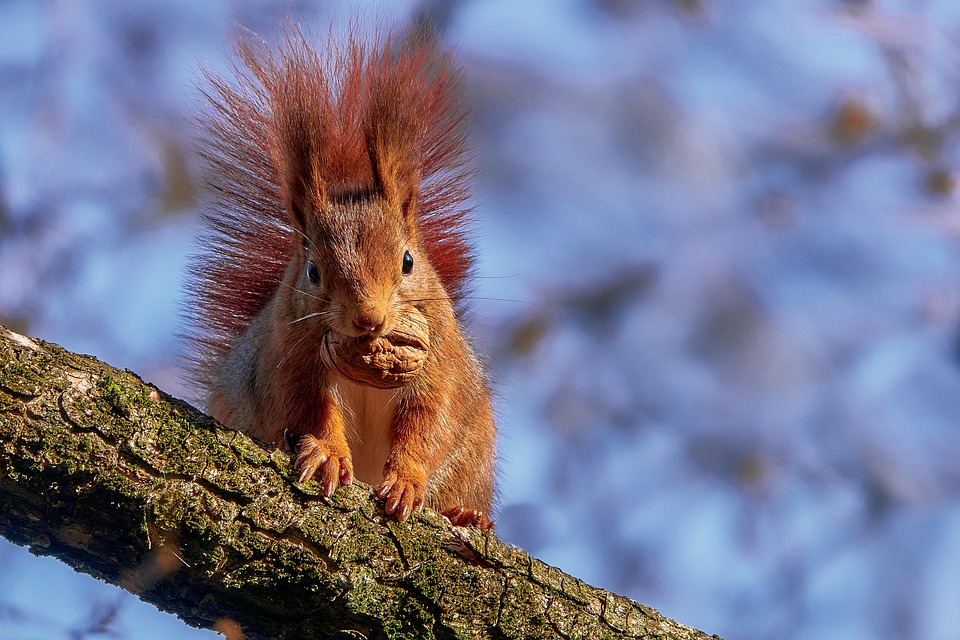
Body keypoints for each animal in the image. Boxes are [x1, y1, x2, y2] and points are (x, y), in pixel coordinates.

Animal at [185, 24, 496, 530]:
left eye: (408, 262)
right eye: (313, 271)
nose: (369, 320)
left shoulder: (439, 360)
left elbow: (430, 420)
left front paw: (407, 478)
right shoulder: (288, 357)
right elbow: (305, 407)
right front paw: (328, 454)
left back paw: (465, 515)